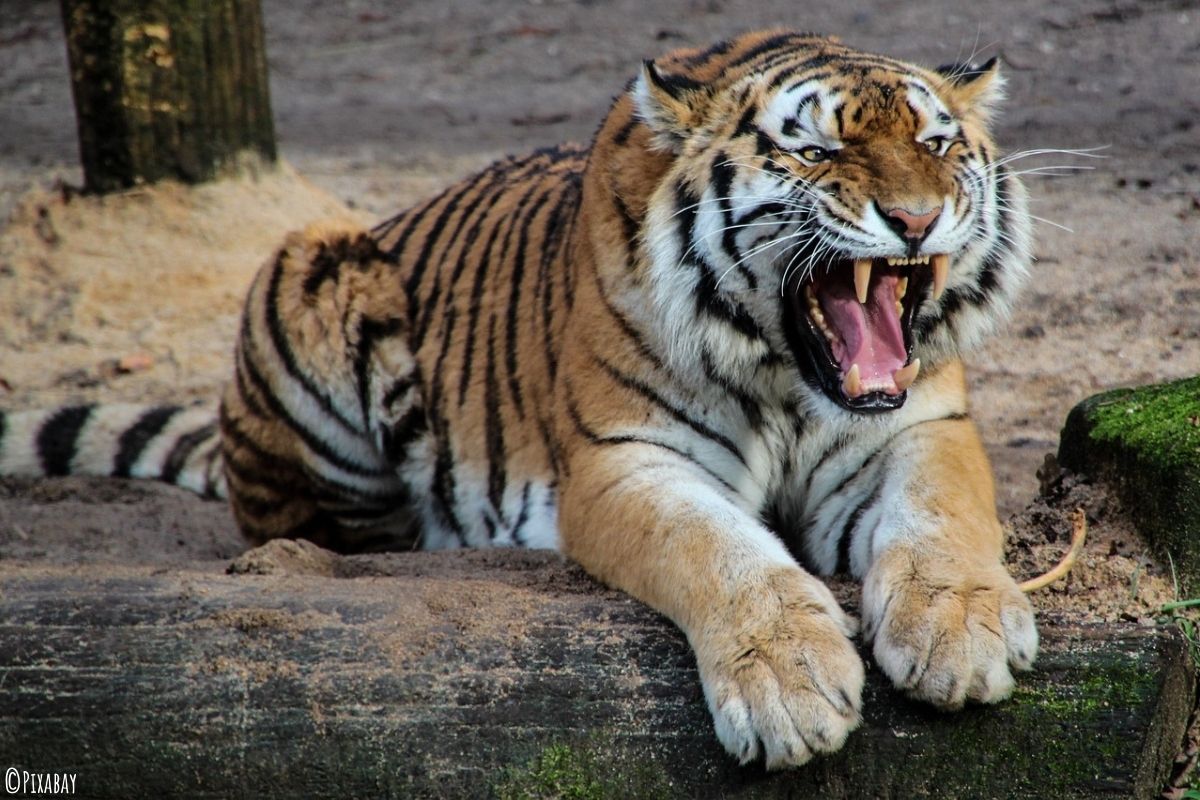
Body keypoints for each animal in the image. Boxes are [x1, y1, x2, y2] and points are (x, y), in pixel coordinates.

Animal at [0, 30, 1038, 768]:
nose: (916, 219)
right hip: (312, 266)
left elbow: (942, 515)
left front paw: (960, 631)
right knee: (313, 528)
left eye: (936, 143)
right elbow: (721, 552)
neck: (788, 376)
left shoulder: (920, 427)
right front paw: (789, 684)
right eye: (818, 151)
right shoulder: (625, 461)